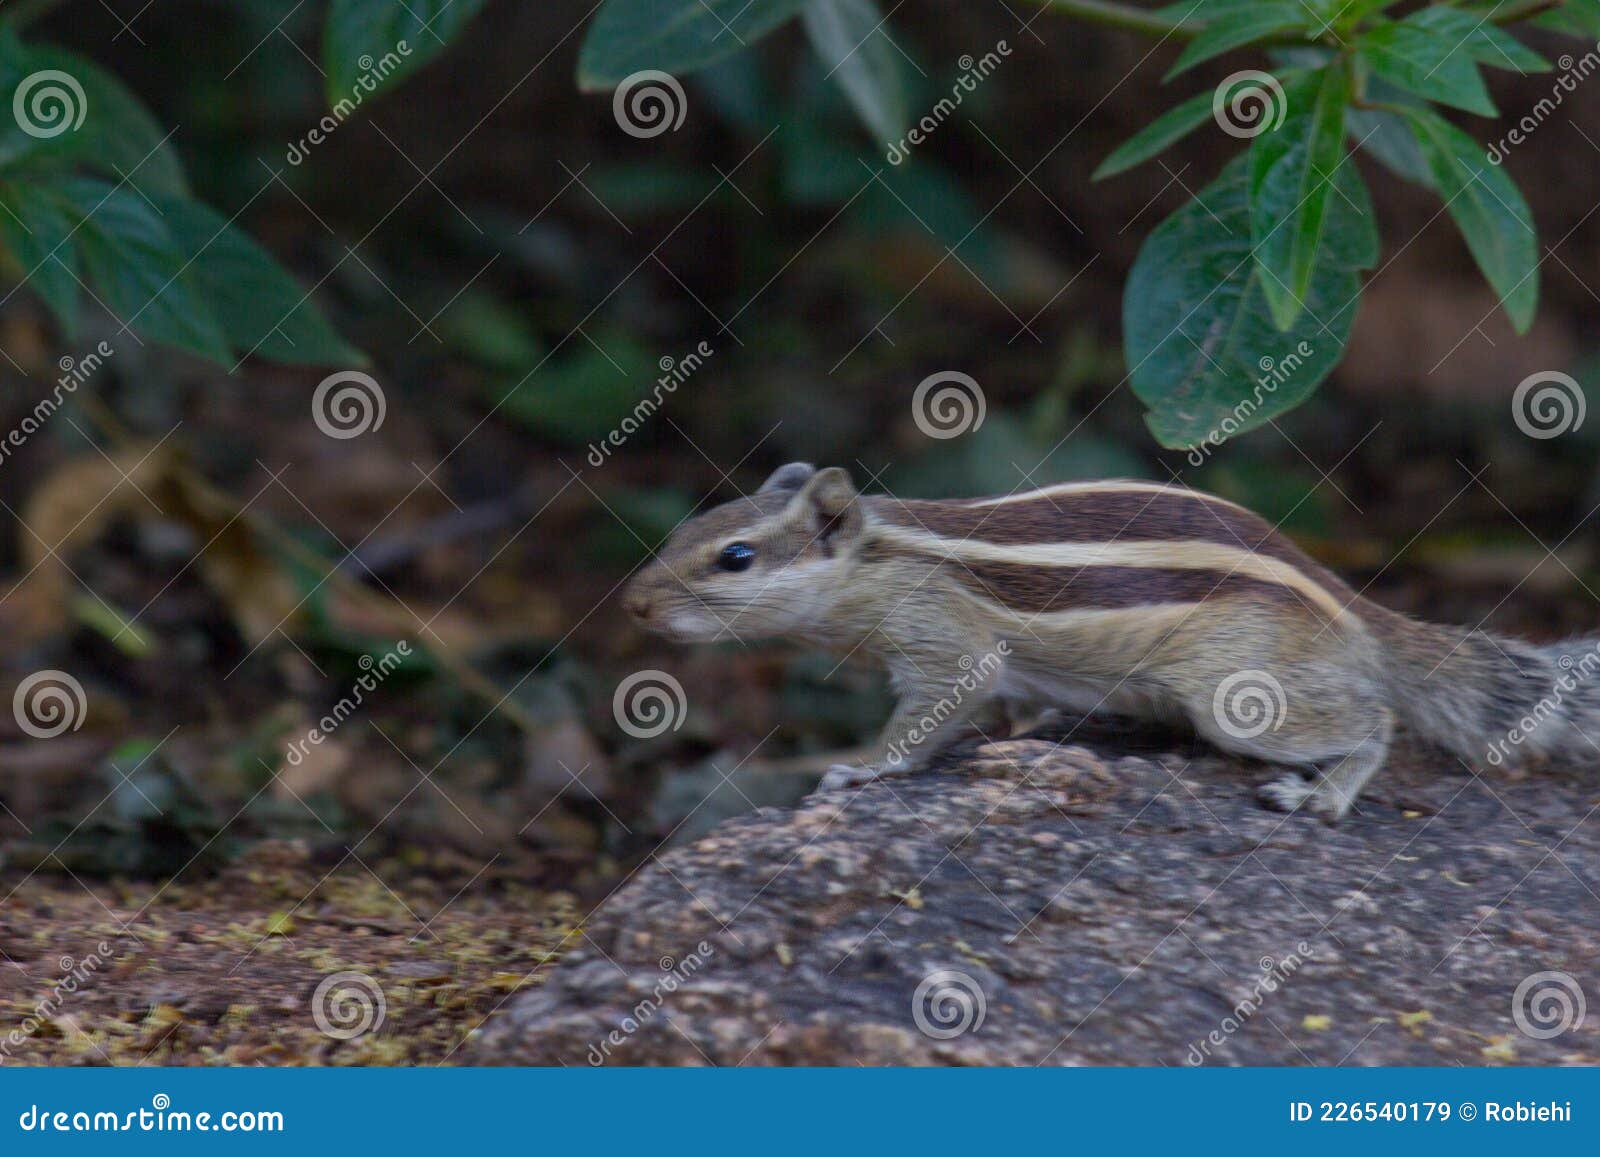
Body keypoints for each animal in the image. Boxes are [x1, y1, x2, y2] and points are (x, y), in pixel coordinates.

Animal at [622, 462, 1592, 820]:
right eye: (693, 523)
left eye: (736, 558)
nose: (632, 603)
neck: (884, 553)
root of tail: (1354, 610)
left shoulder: (943, 643)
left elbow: (924, 717)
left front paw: (859, 767)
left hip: (1238, 698)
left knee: (1375, 720)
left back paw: (1324, 792)